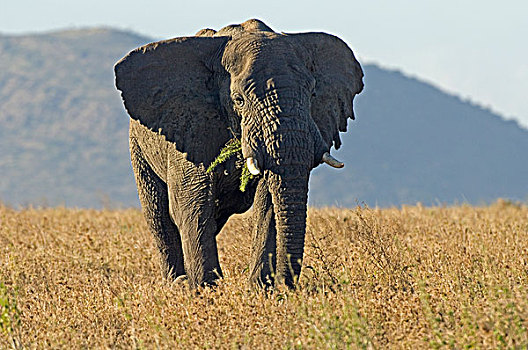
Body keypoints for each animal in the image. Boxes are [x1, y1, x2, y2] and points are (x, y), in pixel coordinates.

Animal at [115, 17, 364, 288]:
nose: (286, 285)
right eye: (239, 100)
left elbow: (268, 204)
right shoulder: (190, 124)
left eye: (312, 93)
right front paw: (206, 289)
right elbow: (192, 202)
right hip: (137, 146)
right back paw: (176, 282)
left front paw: (260, 289)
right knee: (158, 215)